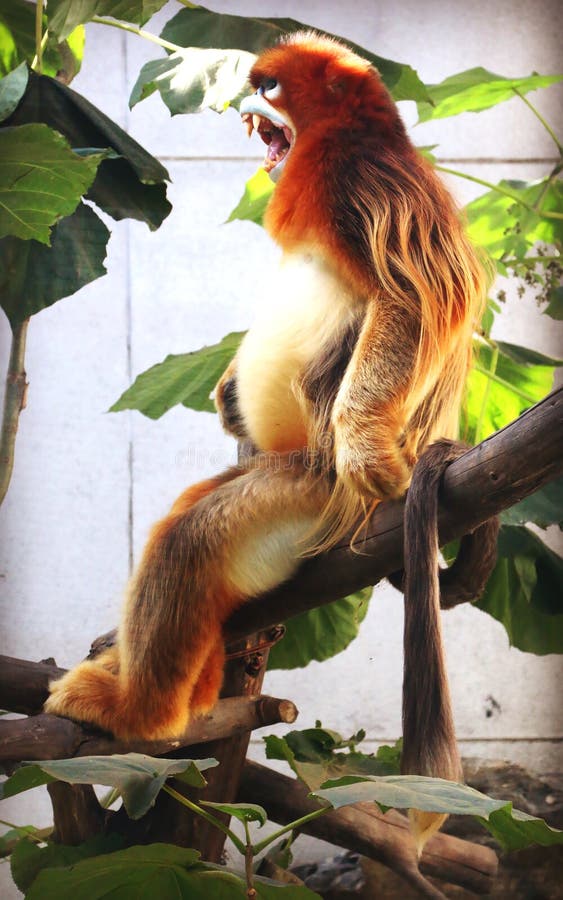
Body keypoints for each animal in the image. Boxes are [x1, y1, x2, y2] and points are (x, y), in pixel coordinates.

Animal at [45, 33, 497, 850]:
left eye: (271, 87)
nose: (244, 98)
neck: (346, 141)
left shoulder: (364, 181)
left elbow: (415, 294)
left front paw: (366, 447)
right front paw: (228, 395)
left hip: (309, 494)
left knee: (190, 539)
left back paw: (141, 713)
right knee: (186, 523)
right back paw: (182, 692)